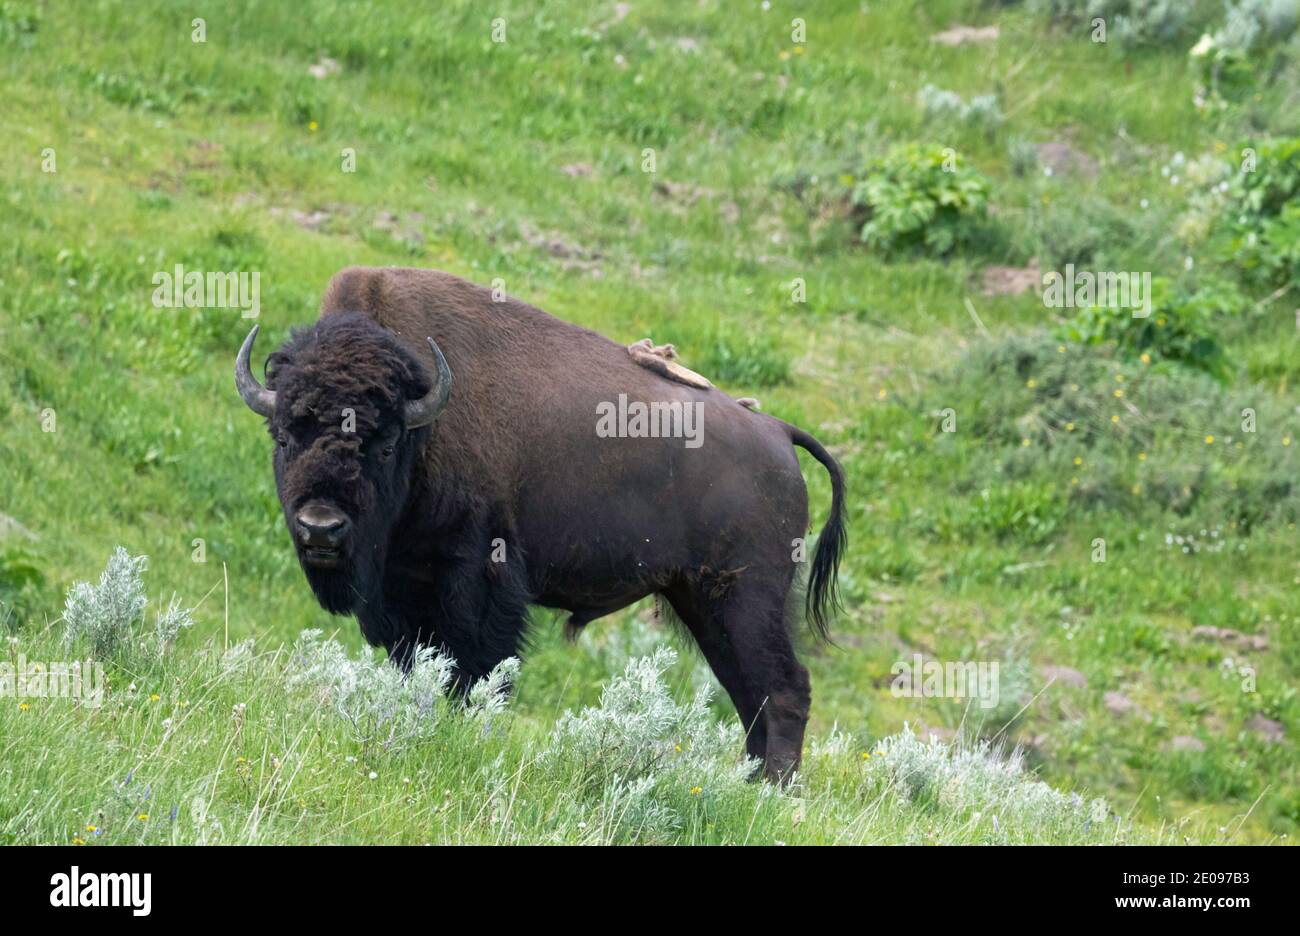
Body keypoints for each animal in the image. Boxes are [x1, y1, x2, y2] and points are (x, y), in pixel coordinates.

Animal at [235, 267, 846, 780]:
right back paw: (749, 782)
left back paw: (773, 790)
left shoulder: (477, 583)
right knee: (750, 692)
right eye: (284, 437)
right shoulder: (403, 593)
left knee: (784, 689)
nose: (321, 527)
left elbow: (475, 669)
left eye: (383, 444)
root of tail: (778, 432)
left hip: (745, 599)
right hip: (701, 601)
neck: (425, 427)